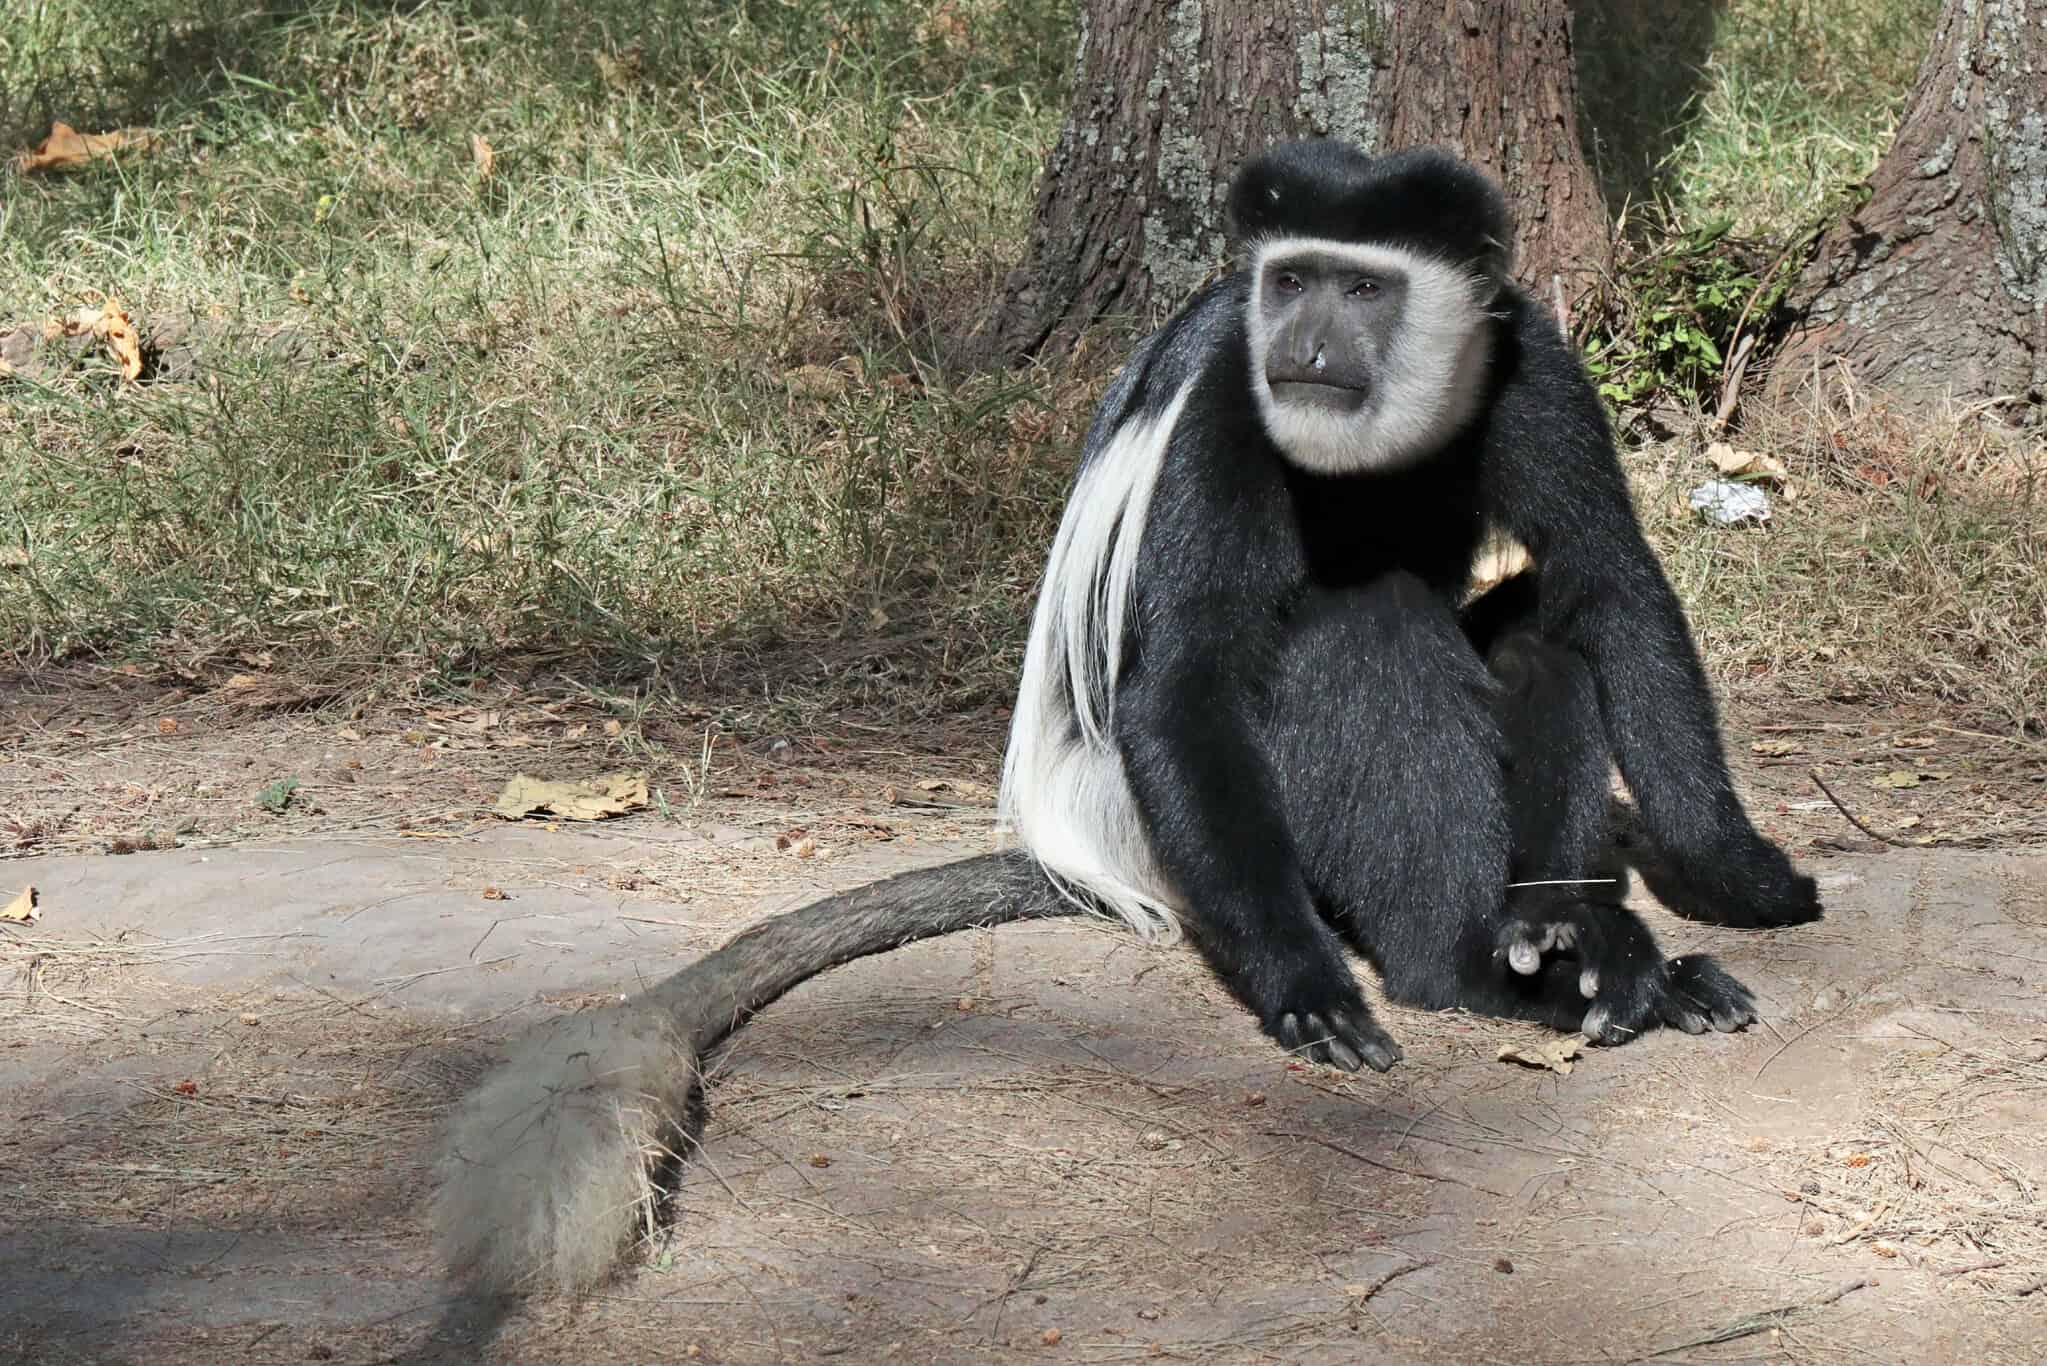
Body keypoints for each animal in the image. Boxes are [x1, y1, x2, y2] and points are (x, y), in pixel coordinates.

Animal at [432, 141, 1820, 1296]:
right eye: (1292, 281)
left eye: (1362, 289)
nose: (1304, 339)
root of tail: (1081, 835)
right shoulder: (1227, 411)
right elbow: (1183, 679)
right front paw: (1308, 986)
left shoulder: (1529, 364)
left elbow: (1611, 583)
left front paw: (1738, 875)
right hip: (1185, 816)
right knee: (1355, 637)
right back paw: (1473, 967)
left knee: (1538, 631)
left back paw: (1571, 942)